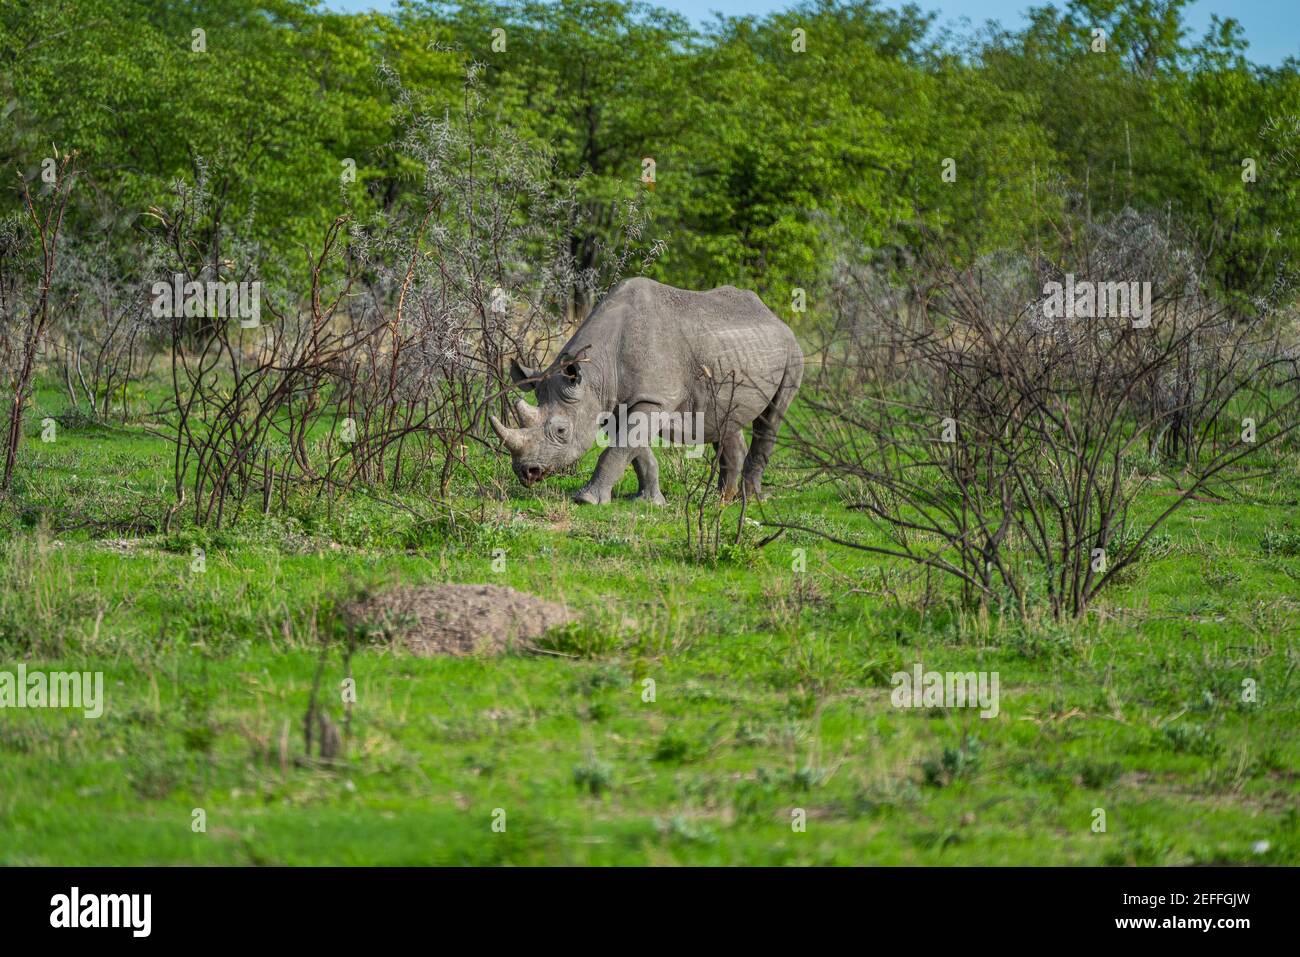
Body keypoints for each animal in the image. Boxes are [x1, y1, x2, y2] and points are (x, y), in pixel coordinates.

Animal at [490, 278, 803, 505]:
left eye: (561, 431)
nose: (526, 472)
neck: (594, 374)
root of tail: (773, 315)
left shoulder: (652, 400)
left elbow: (619, 449)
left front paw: (585, 500)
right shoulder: (613, 400)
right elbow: (635, 452)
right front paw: (649, 502)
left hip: (791, 351)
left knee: (771, 418)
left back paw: (750, 501)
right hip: (735, 352)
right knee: (723, 418)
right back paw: (720, 500)